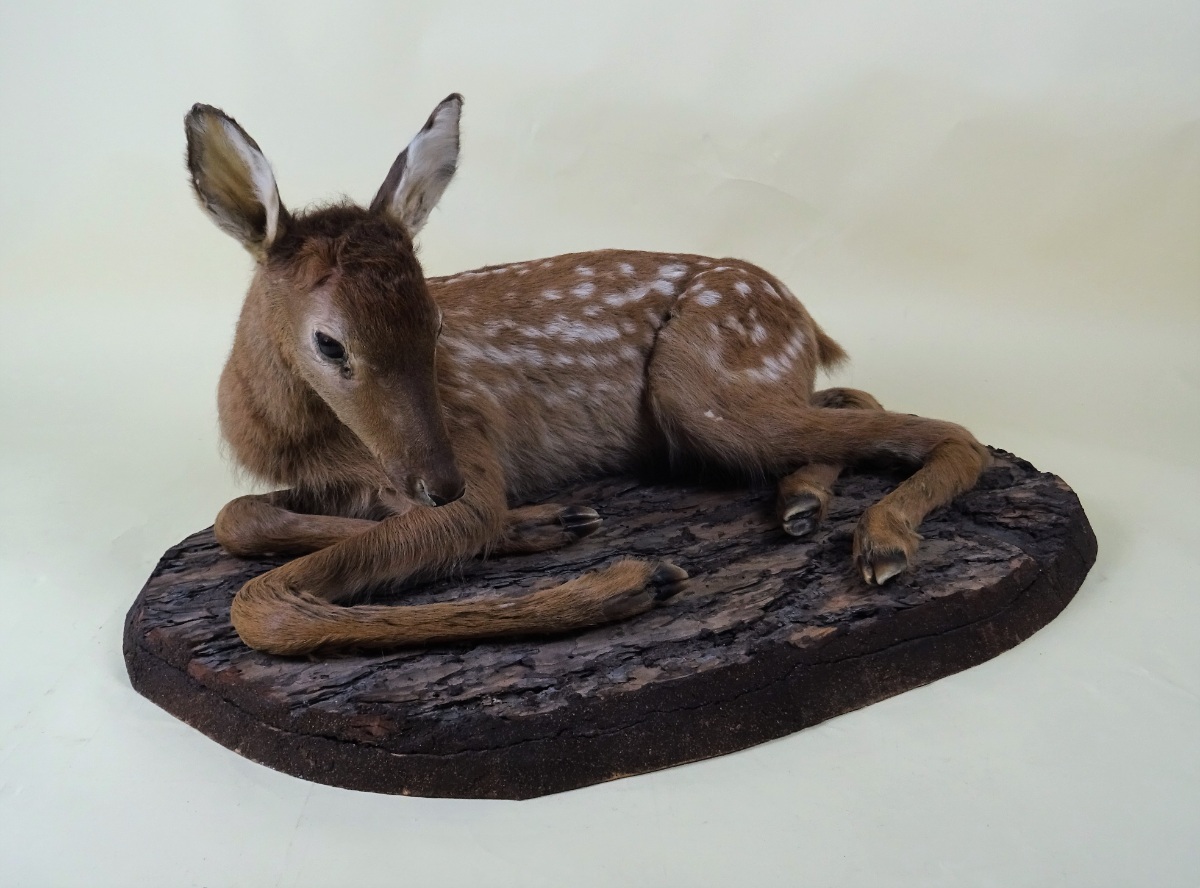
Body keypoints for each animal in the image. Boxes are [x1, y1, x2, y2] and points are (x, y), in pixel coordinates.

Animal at [185, 94, 991, 656]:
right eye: (328, 343)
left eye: (437, 326)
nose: (440, 482)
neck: (311, 443)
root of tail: (805, 318)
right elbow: (236, 517)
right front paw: (547, 522)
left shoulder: (466, 438)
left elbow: (263, 606)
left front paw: (626, 577)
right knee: (850, 399)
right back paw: (802, 504)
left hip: (702, 386)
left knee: (953, 430)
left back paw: (882, 541)